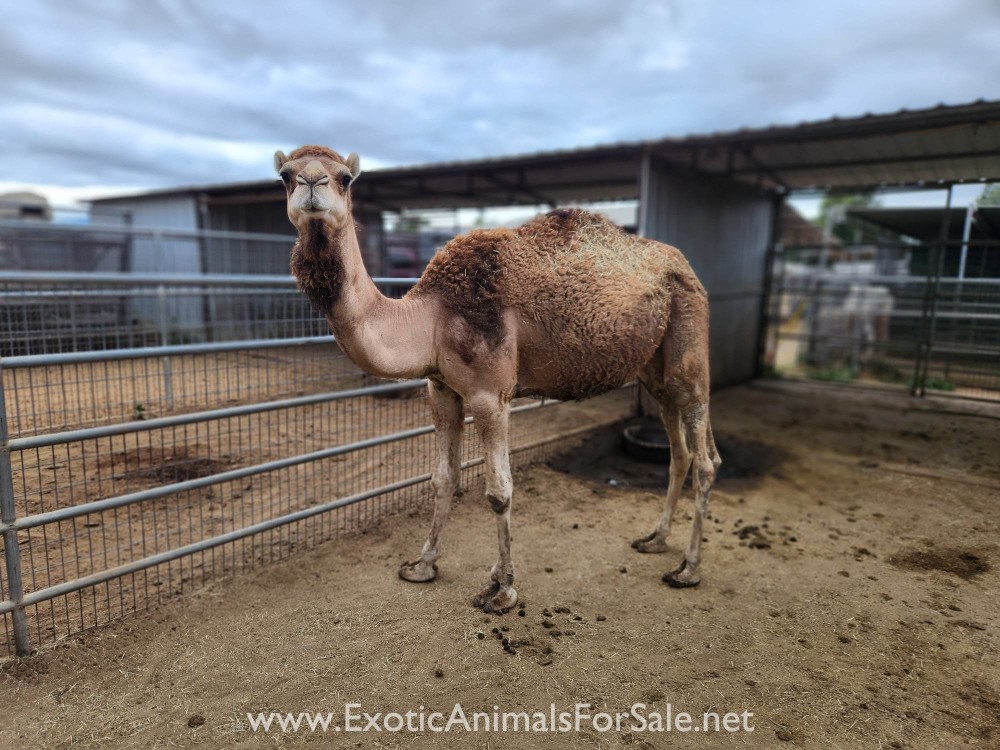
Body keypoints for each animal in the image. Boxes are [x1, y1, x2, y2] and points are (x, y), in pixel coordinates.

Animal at [275, 144, 720, 614]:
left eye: (345, 178)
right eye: (284, 176)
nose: (311, 183)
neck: (430, 318)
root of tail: (686, 268)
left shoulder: (491, 394)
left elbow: (498, 490)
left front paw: (502, 589)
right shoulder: (441, 389)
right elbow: (443, 479)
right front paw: (422, 565)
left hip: (689, 344)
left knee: (705, 456)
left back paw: (687, 568)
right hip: (655, 371)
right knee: (680, 452)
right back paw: (655, 539)